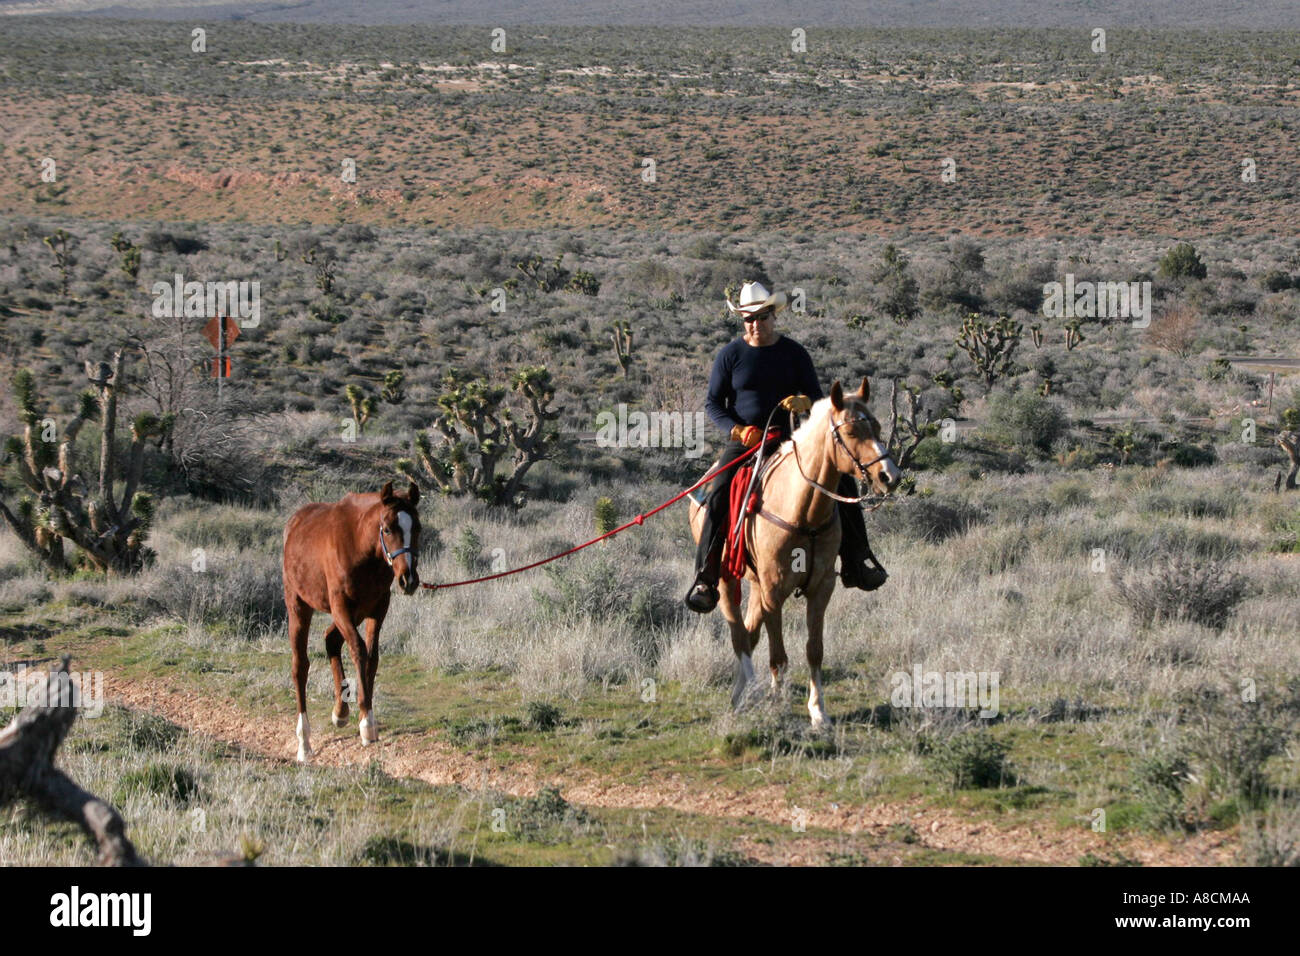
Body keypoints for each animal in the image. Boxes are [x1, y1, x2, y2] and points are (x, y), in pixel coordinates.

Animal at [282, 481, 422, 762]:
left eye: (418, 528)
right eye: (387, 529)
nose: (408, 579)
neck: (360, 547)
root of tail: (293, 524)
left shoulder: (377, 610)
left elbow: (372, 657)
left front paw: (365, 716)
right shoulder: (341, 607)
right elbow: (359, 651)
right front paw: (366, 723)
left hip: (350, 614)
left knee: (331, 640)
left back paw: (340, 711)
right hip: (299, 606)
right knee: (300, 666)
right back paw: (304, 742)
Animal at [688, 379, 901, 726]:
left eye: (878, 427)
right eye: (851, 431)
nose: (890, 476)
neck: (804, 512)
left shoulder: (821, 586)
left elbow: (814, 649)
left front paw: (818, 711)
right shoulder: (774, 589)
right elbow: (778, 654)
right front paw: (780, 703)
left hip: (756, 582)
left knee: (750, 632)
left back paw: (746, 692)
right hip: (726, 579)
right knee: (739, 635)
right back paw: (745, 693)